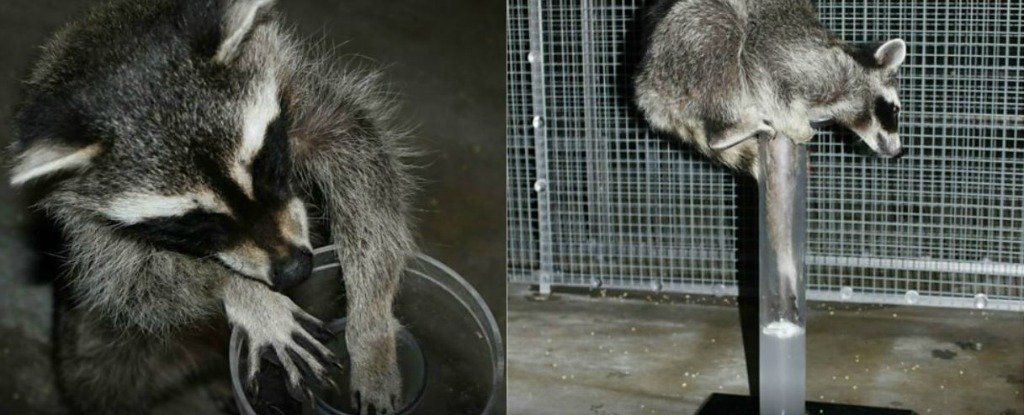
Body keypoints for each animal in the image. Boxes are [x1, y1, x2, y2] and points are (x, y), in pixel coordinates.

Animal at [8, 0, 415, 413]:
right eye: (197, 222)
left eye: (265, 168)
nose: (295, 270)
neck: (122, 52)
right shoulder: (79, 218)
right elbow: (133, 282)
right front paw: (244, 292)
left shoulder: (296, 87)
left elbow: (364, 168)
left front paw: (371, 330)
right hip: (88, 330)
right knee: (99, 377)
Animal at [635, 0, 907, 179]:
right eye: (894, 109)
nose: (899, 152)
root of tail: (647, 85)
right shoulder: (796, 56)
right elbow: (764, 70)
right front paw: (795, 124)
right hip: (686, 44)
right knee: (725, 36)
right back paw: (728, 129)